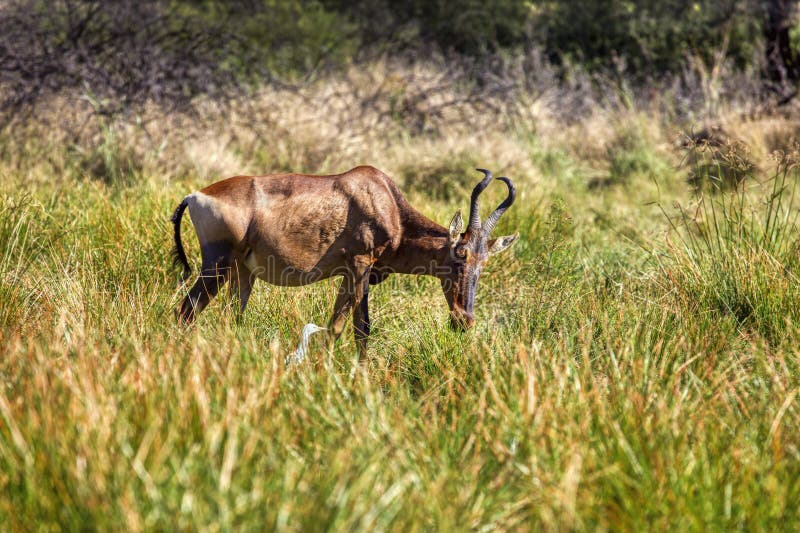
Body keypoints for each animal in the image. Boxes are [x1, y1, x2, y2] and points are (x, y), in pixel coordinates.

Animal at [171, 166, 518, 355]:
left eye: (483, 263)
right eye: (459, 255)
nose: (464, 320)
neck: (386, 200)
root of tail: (195, 196)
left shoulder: (350, 276)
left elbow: (347, 327)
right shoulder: (360, 267)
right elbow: (352, 327)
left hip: (242, 271)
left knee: (231, 318)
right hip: (215, 266)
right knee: (185, 312)